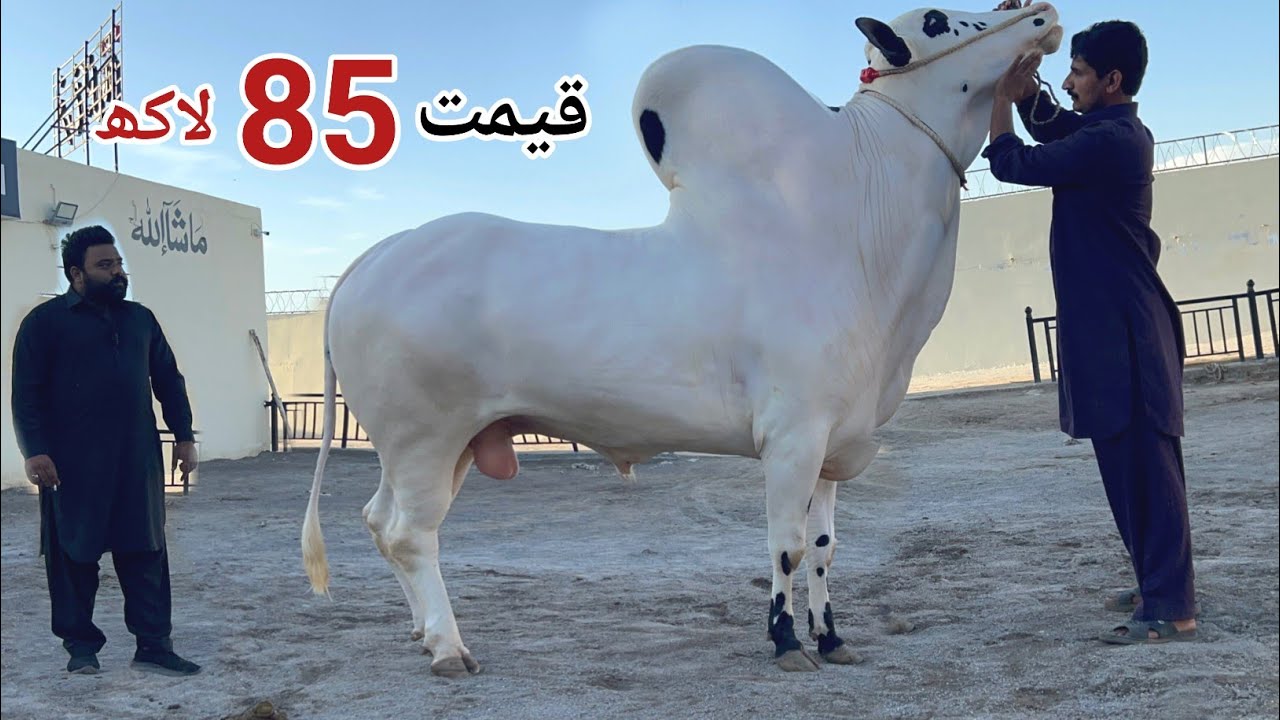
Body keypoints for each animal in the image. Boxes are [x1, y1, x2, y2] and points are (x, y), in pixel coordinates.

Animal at [302, 3, 1063, 678]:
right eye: (936, 19)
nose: (1041, 14)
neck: (857, 220)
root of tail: (376, 257)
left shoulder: (832, 444)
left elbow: (824, 546)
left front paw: (833, 637)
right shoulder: (793, 436)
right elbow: (786, 548)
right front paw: (787, 643)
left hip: (438, 446)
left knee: (380, 522)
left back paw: (422, 633)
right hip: (424, 439)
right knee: (410, 534)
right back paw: (449, 649)